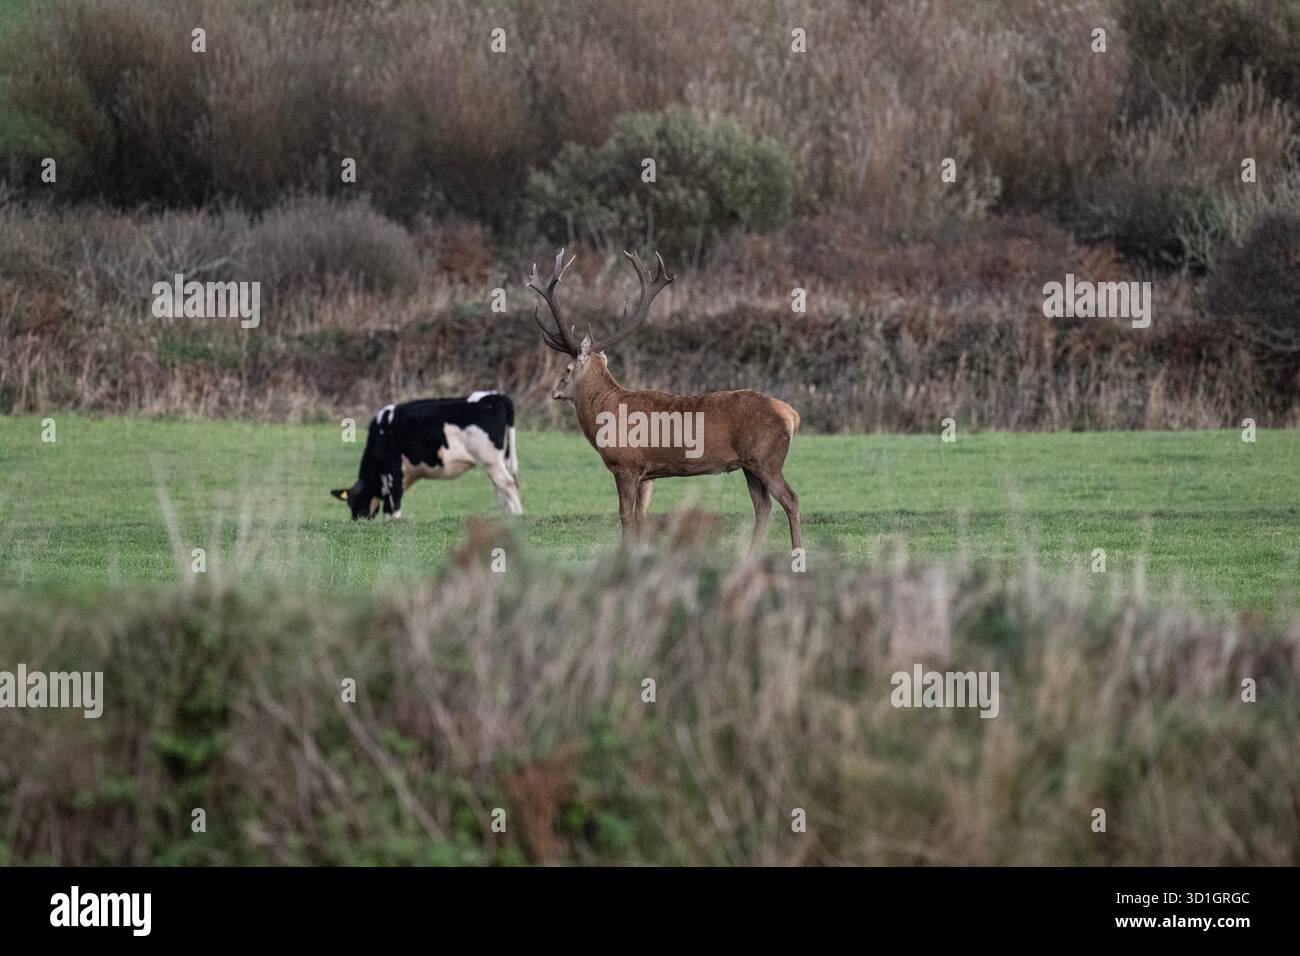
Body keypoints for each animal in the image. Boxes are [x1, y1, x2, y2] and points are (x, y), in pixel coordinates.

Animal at [331, 391, 521, 519]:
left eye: (355, 501)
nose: (357, 519)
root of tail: (497, 396)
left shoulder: (393, 469)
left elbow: (393, 504)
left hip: (491, 460)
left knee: (507, 484)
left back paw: (517, 515)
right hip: (499, 460)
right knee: (500, 486)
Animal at [526, 248, 802, 553]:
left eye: (566, 370)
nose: (554, 392)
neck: (605, 413)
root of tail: (791, 414)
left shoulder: (625, 465)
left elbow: (625, 516)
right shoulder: (648, 473)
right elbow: (642, 516)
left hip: (768, 459)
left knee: (791, 498)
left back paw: (797, 552)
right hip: (749, 465)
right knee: (763, 506)